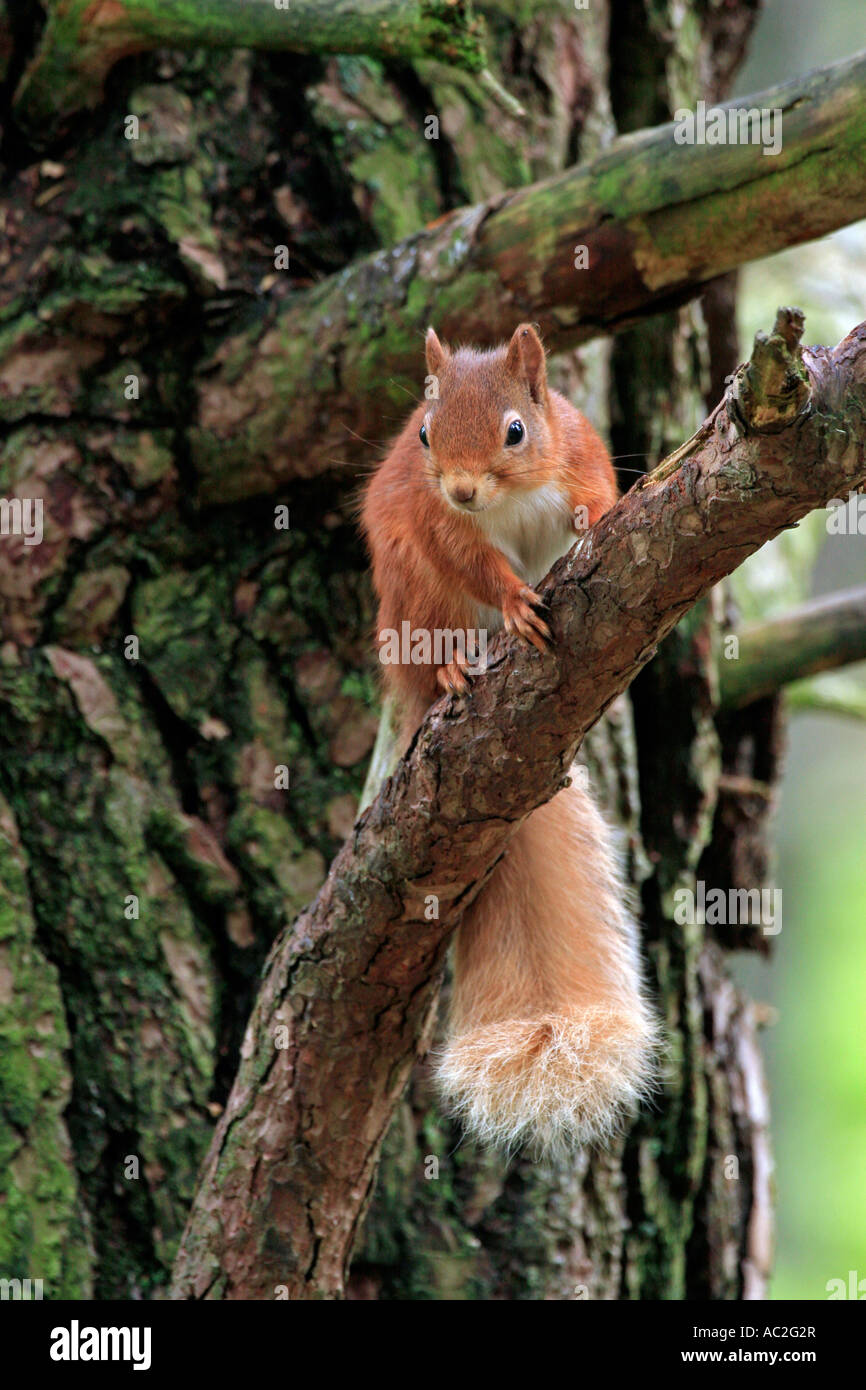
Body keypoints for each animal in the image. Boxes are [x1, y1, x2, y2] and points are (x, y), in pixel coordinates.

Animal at [361, 323, 658, 1155]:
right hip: (413, 594)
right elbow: (477, 563)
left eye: (517, 430)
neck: (512, 500)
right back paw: (452, 673)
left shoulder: (580, 451)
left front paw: (595, 522)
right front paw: (516, 600)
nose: (461, 489)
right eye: (425, 435)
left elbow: (600, 496)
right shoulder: (439, 528)